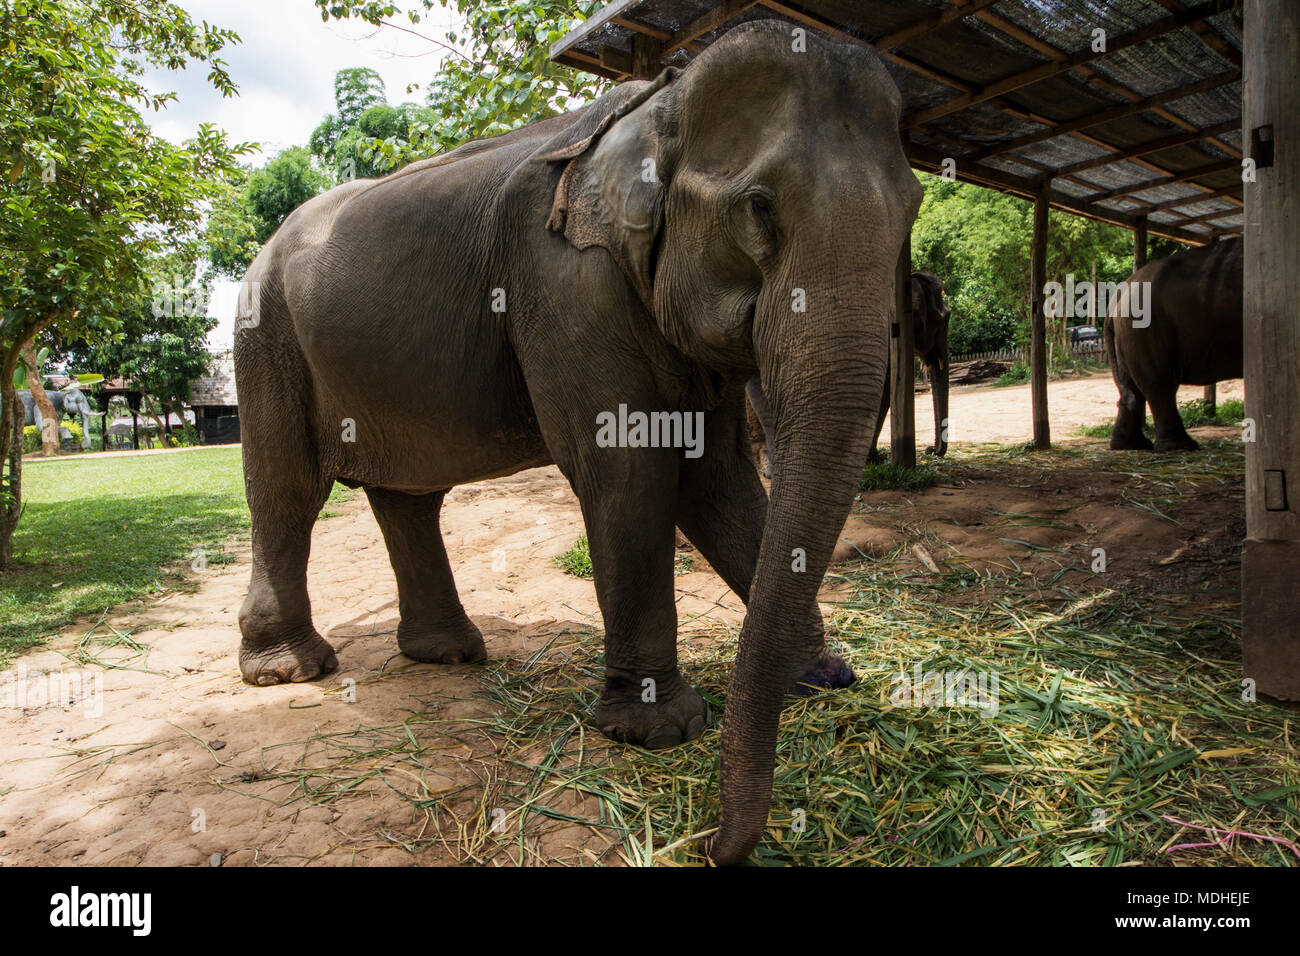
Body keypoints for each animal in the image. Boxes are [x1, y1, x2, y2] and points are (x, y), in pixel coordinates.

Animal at [234, 20, 921, 865]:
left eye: (914, 210)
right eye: (759, 209)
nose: (708, 844)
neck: (658, 102)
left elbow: (716, 476)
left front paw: (818, 676)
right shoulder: (564, 280)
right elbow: (630, 470)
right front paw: (659, 731)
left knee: (408, 497)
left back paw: (448, 654)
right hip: (265, 335)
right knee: (286, 489)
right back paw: (290, 670)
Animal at [1105, 238, 1242, 452]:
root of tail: (1118, 296)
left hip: (1131, 332)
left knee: (1131, 387)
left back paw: (1131, 445)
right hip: (1146, 328)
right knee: (1160, 383)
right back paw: (1181, 446)